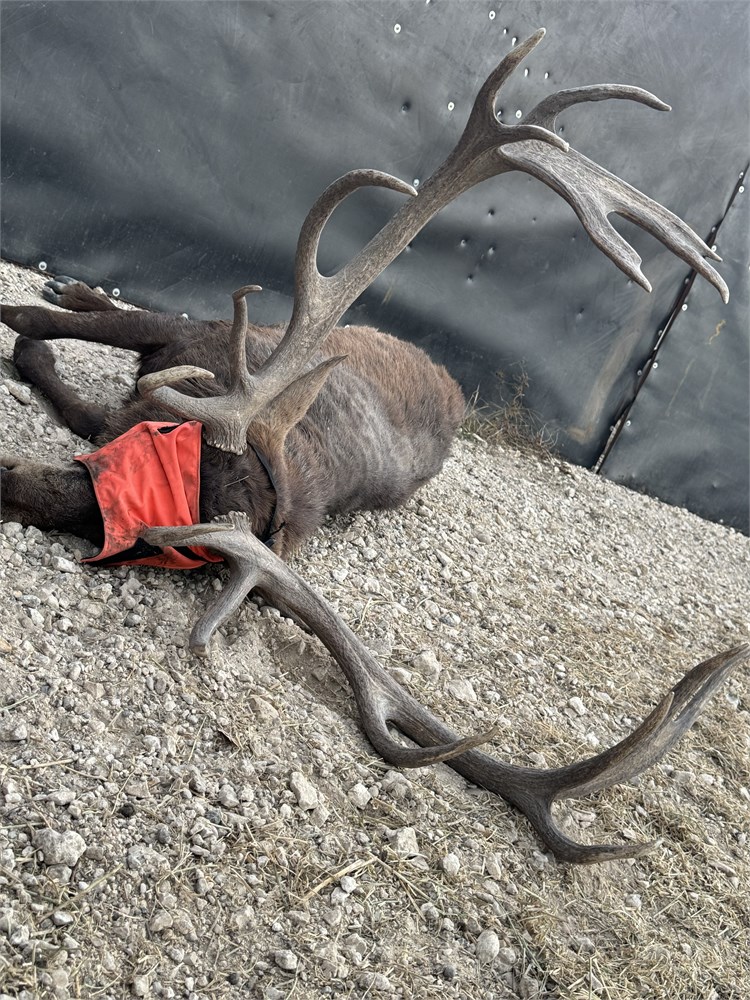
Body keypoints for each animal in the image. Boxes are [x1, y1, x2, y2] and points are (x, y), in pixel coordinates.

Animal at [1, 29, 747, 864]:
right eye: (165, 457)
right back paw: (75, 290)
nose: (8, 483)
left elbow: (60, 381)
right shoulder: (187, 351)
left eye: (155, 543)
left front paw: (35, 372)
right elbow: (43, 323)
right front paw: (42, 328)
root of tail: (453, 385)